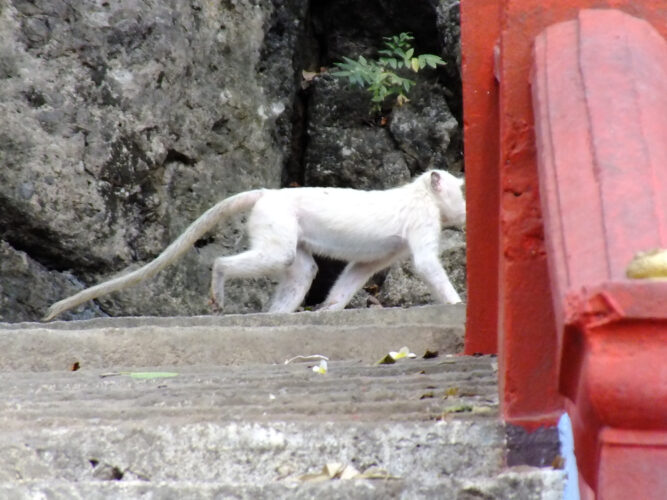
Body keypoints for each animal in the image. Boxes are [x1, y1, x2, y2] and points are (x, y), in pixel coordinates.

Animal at [43, 169, 465, 321]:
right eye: (459, 191)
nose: (465, 208)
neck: (421, 192)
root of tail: (268, 193)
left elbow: (360, 269)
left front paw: (330, 306)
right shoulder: (423, 218)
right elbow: (426, 264)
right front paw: (456, 303)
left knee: (301, 269)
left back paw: (276, 314)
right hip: (275, 217)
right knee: (277, 256)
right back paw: (220, 276)